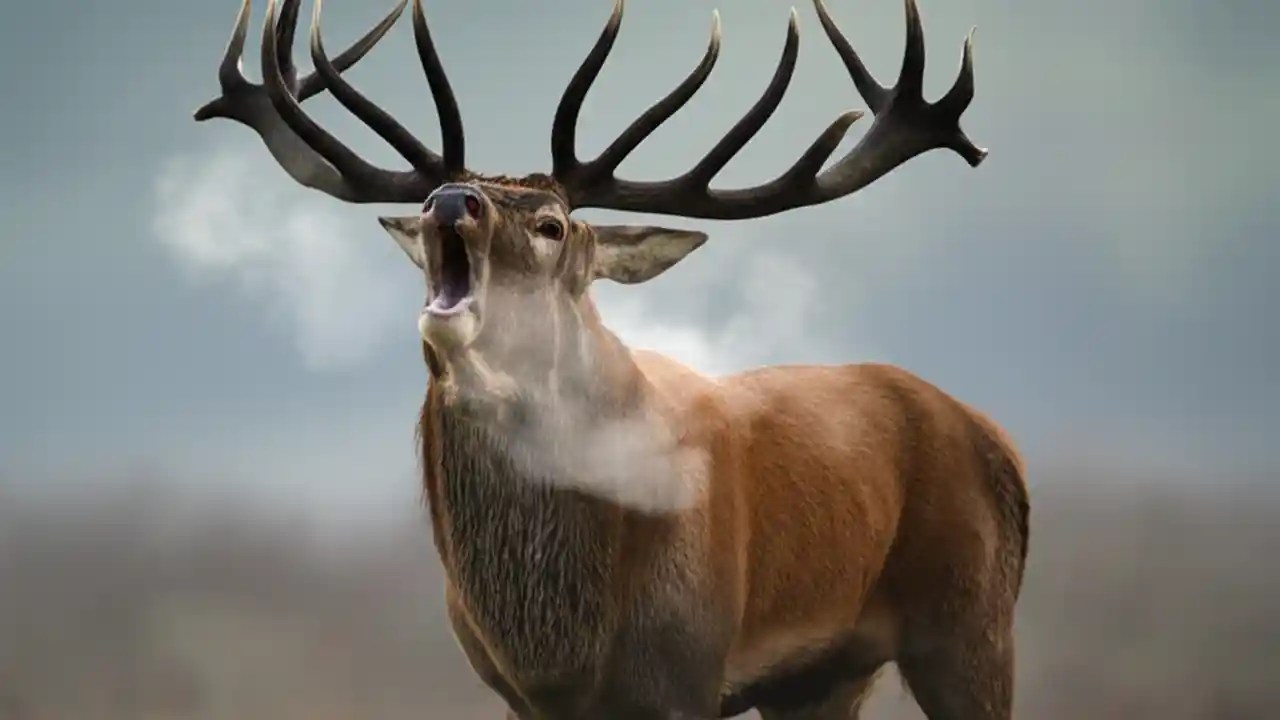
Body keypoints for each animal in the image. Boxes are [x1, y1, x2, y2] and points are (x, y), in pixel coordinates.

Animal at [193, 0, 1029, 717]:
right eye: (436, 196)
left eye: (553, 224)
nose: (449, 200)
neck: (561, 652)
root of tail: (998, 439)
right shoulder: (515, 695)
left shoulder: (687, 668)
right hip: (822, 676)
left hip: (972, 620)